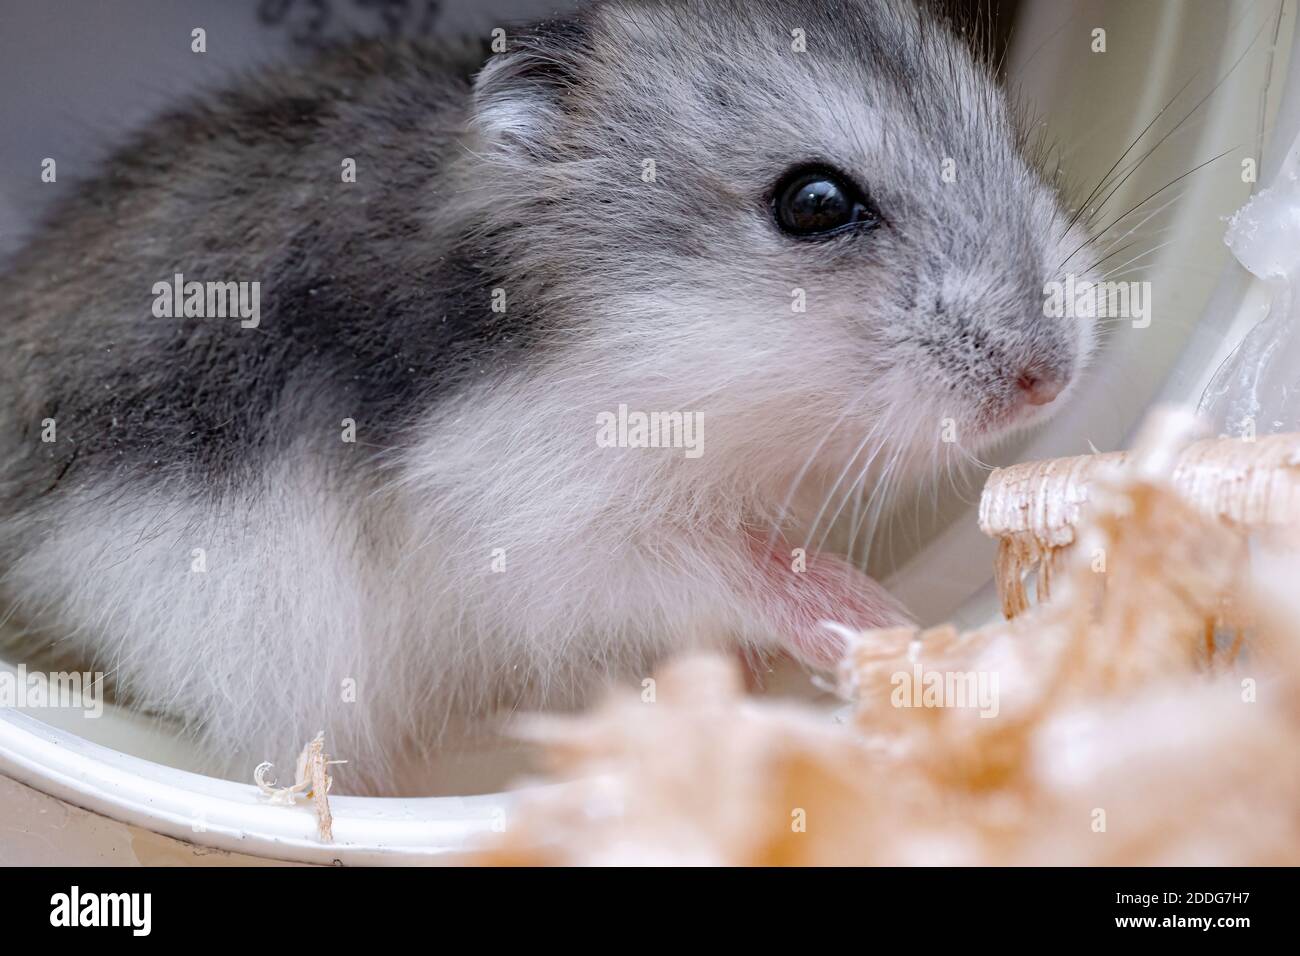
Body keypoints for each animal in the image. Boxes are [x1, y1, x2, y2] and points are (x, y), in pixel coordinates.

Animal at [0, 0, 1096, 791]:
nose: (1052, 377)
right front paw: (881, 626)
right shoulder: (544, 536)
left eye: (1001, 127)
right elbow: (733, 560)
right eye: (814, 204)